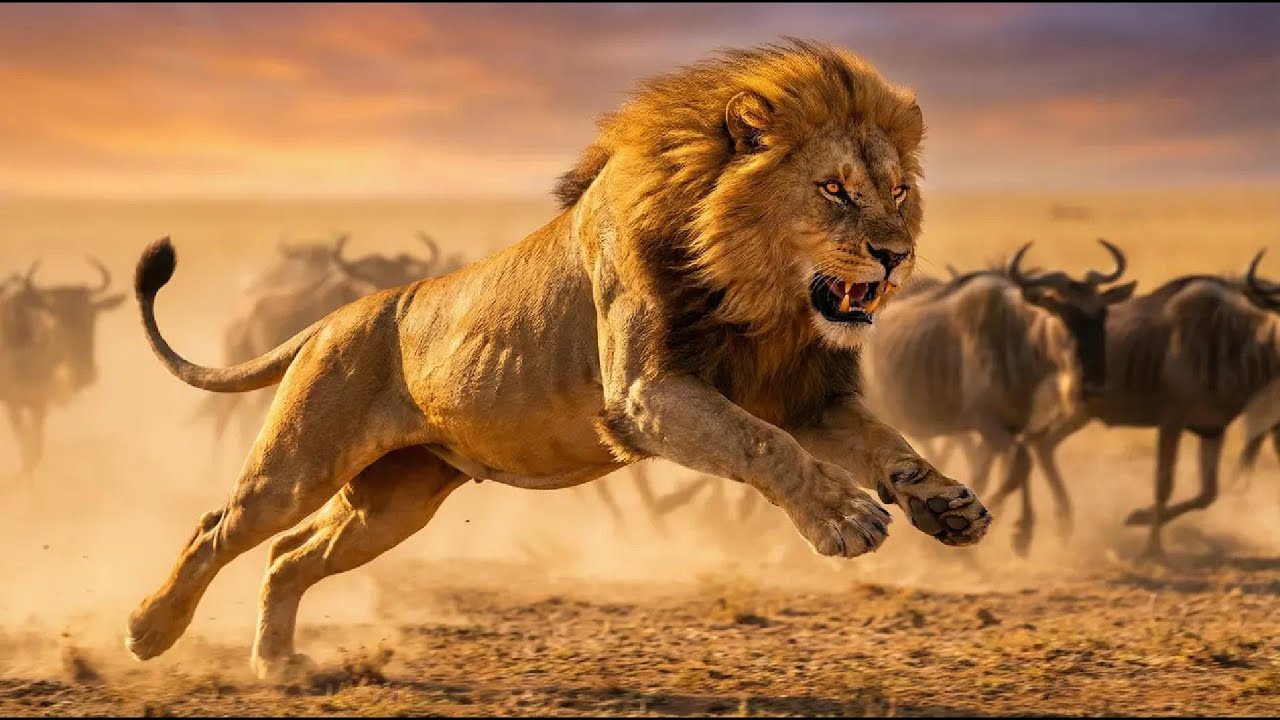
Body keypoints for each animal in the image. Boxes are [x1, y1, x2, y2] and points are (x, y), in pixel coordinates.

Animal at [125, 39, 991, 680]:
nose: (896, 255)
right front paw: (846, 519)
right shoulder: (648, 393)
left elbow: (886, 444)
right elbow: (763, 445)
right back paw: (148, 631)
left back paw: (279, 666)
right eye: (835, 191)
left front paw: (946, 503)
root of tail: (330, 319)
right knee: (220, 526)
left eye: (898, 192)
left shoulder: (802, 394)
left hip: (392, 504)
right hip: (301, 464)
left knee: (286, 556)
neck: (759, 298)